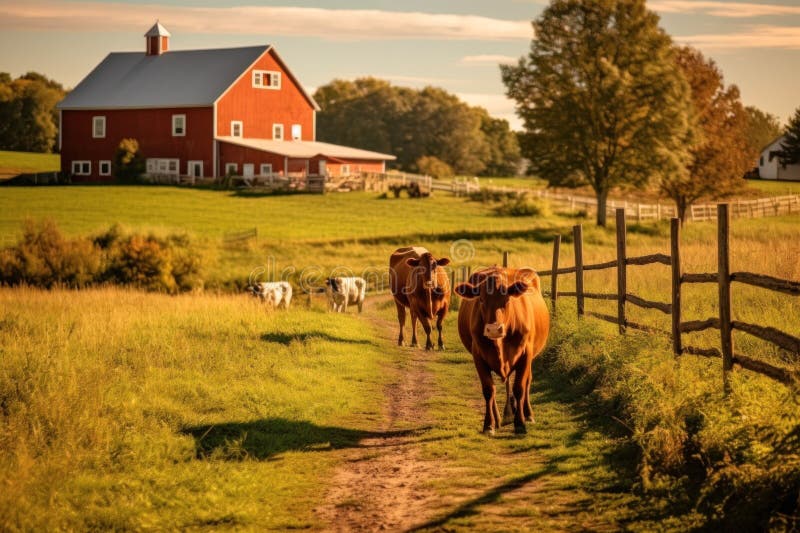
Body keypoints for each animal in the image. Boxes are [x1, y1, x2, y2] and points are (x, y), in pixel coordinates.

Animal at [455, 266, 550, 435]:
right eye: (481, 300)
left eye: (507, 300)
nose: (493, 329)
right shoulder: (478, 356)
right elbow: (488, 390)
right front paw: (488, 424)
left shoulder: (526, 354)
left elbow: (519, 388)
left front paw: (520, 423)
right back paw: (498, 419)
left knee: (527, 382)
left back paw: (528, 415)